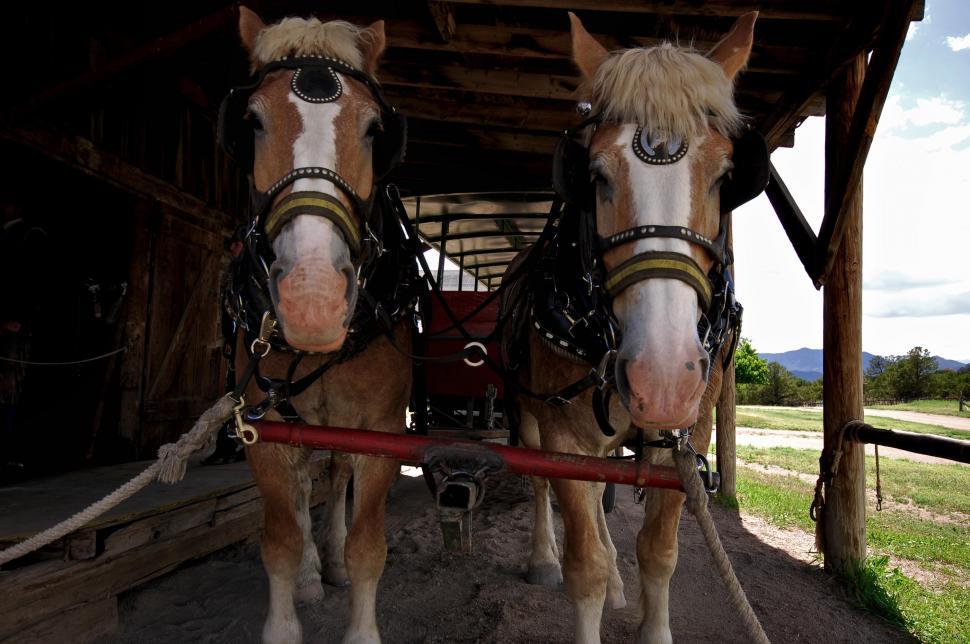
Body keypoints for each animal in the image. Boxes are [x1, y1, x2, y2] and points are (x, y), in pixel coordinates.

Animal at [219, 9, 415, 643]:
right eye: (252, 122)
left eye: (376, 130)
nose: (313, 299)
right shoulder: (264, 433)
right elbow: (279, 542)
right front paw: (286, 614)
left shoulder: (382, 431)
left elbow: (367, 546)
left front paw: (359, 622)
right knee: (309, 483)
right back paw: (310, 572)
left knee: (335, 474)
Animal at [502, 12, 760, 643]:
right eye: (594, 175)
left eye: (725, 177)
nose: (663, 379)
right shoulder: (564, 438)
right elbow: (585, 564)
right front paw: (586, 576)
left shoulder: (686, 437)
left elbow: (658, 552)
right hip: (528, 412)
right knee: (547, 488)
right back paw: (543, 557)